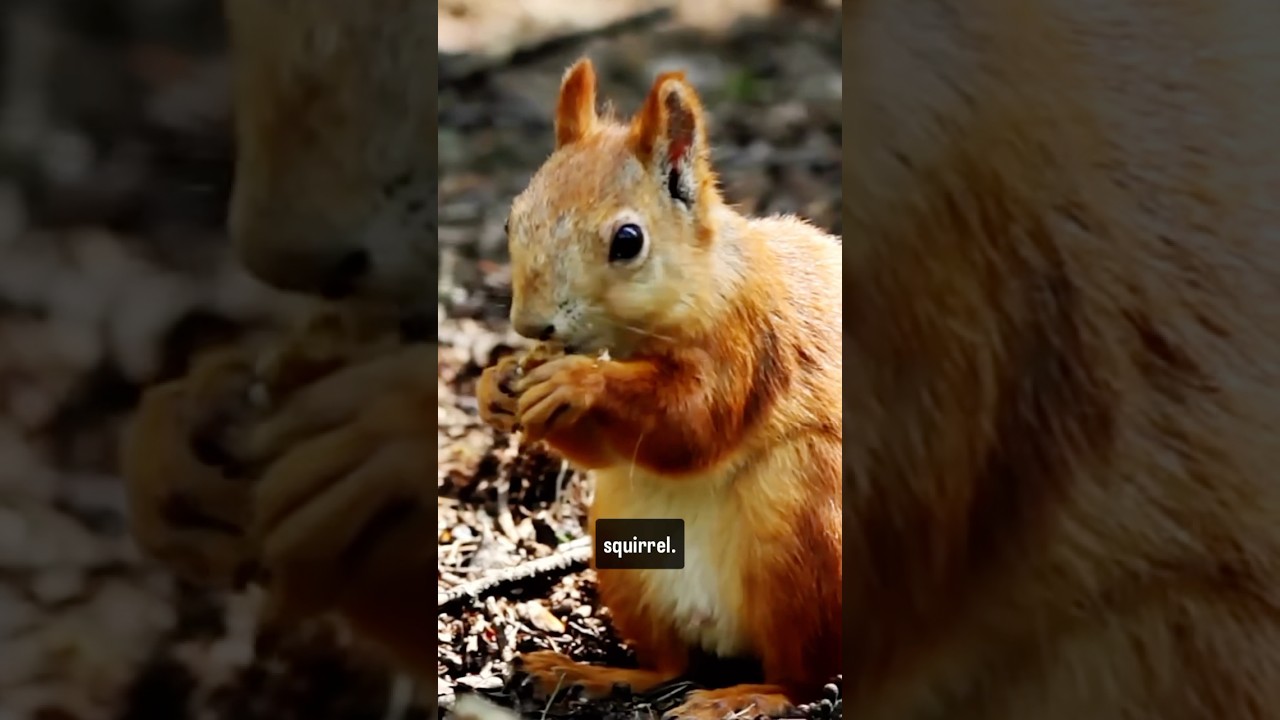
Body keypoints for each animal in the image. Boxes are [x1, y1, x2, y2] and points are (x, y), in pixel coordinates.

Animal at [473, 59, 842, 719]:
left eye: (628, 241)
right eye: (513, 219)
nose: (531, 326)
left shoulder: (749, 339)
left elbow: (693, 425)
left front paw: (577, 380)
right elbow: (608, 450)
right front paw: (495, 385)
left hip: (804, 531)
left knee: (801, 678)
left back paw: (744, 698)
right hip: (624, 554)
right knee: (672, 666)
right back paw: (582, 673)